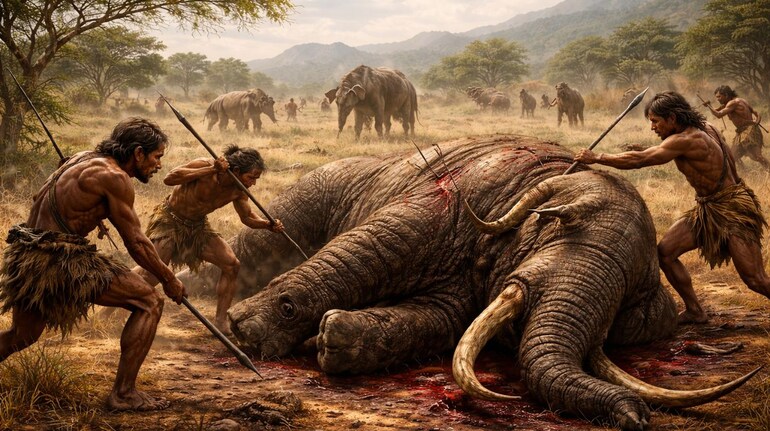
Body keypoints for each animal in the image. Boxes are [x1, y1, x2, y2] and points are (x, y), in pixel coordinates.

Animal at [184, 135, 757, 431]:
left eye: (628, 301)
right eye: (557, 222)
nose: (635, 418)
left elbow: (436, 319)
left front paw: (333, 340)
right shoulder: (456, 200)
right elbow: (362, 252)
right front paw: (249, 332)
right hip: (312, 190)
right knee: (260, 242)